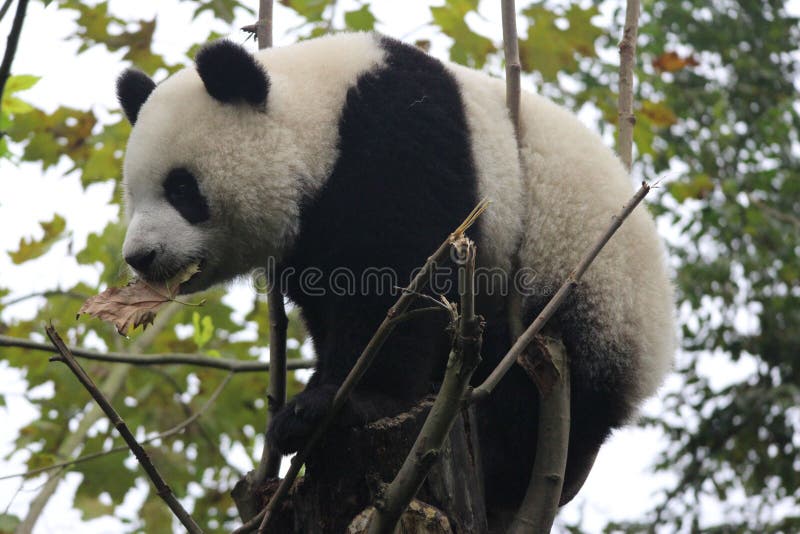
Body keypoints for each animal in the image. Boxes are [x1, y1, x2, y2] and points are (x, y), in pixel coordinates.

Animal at [117, 32, 675, 522]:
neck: (319, 115)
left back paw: (502, 465)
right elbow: (330, 303)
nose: (140, 256)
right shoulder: (312, 234)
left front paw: (331, 407)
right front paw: (318, 393)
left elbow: (397, 282)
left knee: (529, 396)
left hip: (584, 291)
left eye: (182, 189)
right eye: (133, 194)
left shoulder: (400, 140)